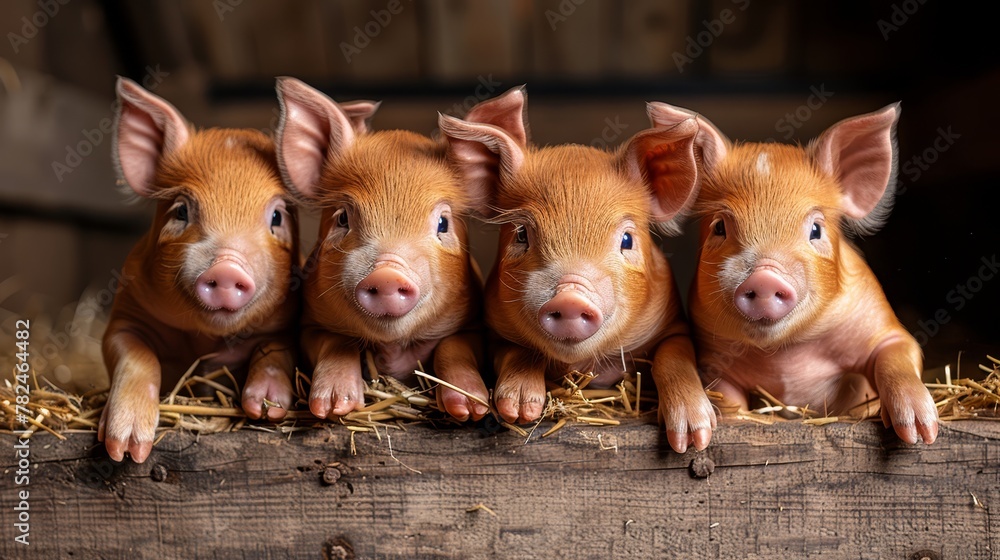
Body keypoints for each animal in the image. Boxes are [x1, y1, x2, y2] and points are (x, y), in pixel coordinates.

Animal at [100, 77, 301, 463]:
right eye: (181, 211)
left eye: (277, 217)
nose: (226, 268)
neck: (207, 340)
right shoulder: (125, 315)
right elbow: (134, 355)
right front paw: (125, 450)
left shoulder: (286, 324)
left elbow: (273, 349)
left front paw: (265, 408)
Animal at [273, 77, 489, 422]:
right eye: (343, 218)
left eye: (443, 224)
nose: (387, 274)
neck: (392, 347)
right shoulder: (309, 323)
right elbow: (336, 342)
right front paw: (332, 407)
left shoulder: (472, 325)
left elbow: (454, 347)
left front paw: (469, 409)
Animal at [439, 87, 715, 453]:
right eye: (521, 234)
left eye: (627, 239)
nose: (570, 298)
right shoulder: (494, 330)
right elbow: (517, 351)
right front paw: (519, 409)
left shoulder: (673, 326)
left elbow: (674, 357)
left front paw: (692, 439)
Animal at [648, 101, 938, 444]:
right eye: (719, 227)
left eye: (816, 229)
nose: (765, 276)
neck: (785, 357)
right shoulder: (715, 365)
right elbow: (730, 403)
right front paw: (699, 440)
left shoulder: (879, 322)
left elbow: (897, 353)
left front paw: (920, 434)